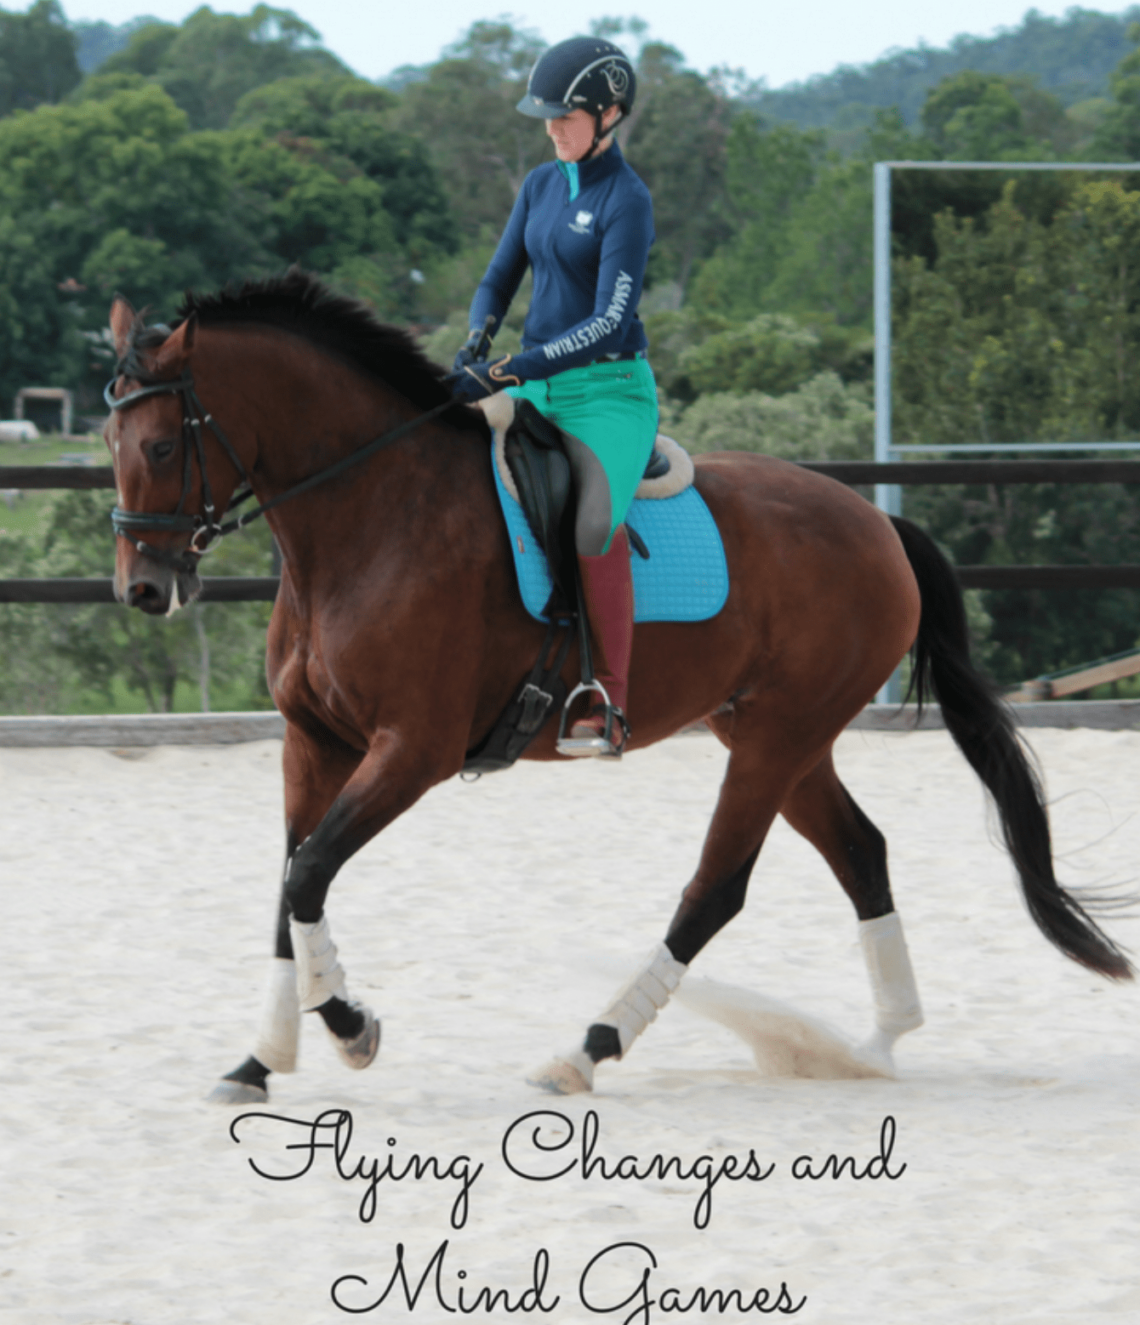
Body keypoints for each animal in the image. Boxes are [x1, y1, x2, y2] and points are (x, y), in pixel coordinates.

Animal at [102, 271, 1132, 1104]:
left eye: (160, 448)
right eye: (110, 436)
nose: (142, 589)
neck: (372, 516)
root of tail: (877, 525)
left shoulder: (412, 750)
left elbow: (311, 869)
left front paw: (352, 1030)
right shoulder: (313, 742)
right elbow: (290, 884)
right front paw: (262, 1059)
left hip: (775, 740)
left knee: (716, 889)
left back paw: (586, 1050)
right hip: (775, 734)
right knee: (861, 852)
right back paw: (877, 1045)